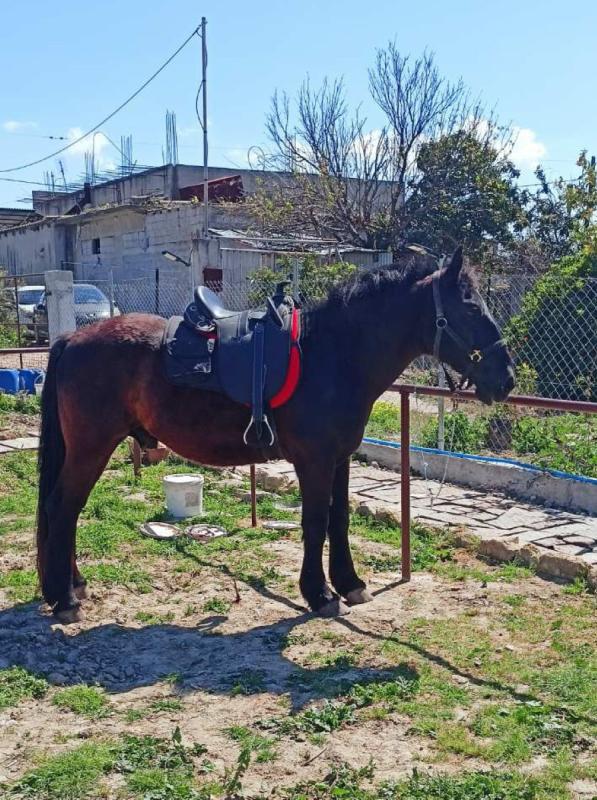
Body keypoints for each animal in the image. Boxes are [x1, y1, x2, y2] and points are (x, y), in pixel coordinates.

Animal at [36, 247, 515, 623]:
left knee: (66, 511)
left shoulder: (340, 457)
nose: (507, 379)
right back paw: (64, 599)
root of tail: (71, 338)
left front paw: (350, 583)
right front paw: (319, 594)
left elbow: (339, 518)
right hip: (91, 448)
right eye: (471, 308)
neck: (333, 354)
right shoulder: (314, 460)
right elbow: (315, 521)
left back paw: (74, 586)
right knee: (64, 509)